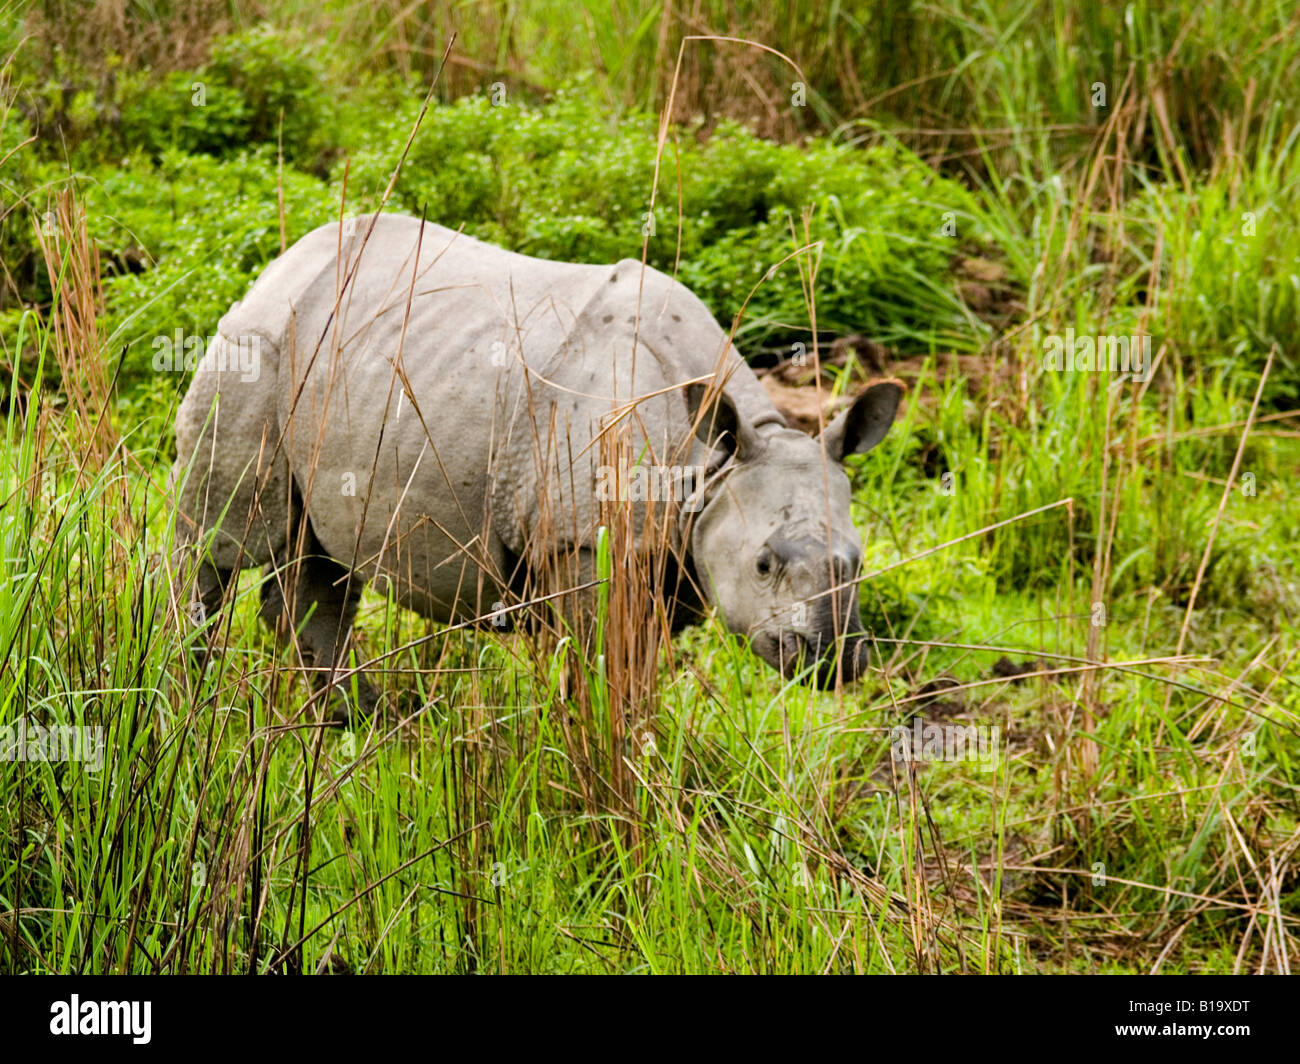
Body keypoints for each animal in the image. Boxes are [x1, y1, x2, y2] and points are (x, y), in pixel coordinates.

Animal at [171, 214, 902, 717]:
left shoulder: (667, 556)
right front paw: (607, 765)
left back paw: (366, 724)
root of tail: (284, 263)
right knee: (216, 539)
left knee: (320, 559)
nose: (833, 658)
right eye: (764, 565)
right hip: (256, 350)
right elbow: (603, 674)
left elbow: (638, 674)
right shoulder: (580, 542)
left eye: (859, 561)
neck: (710, 464)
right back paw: (186, 699)